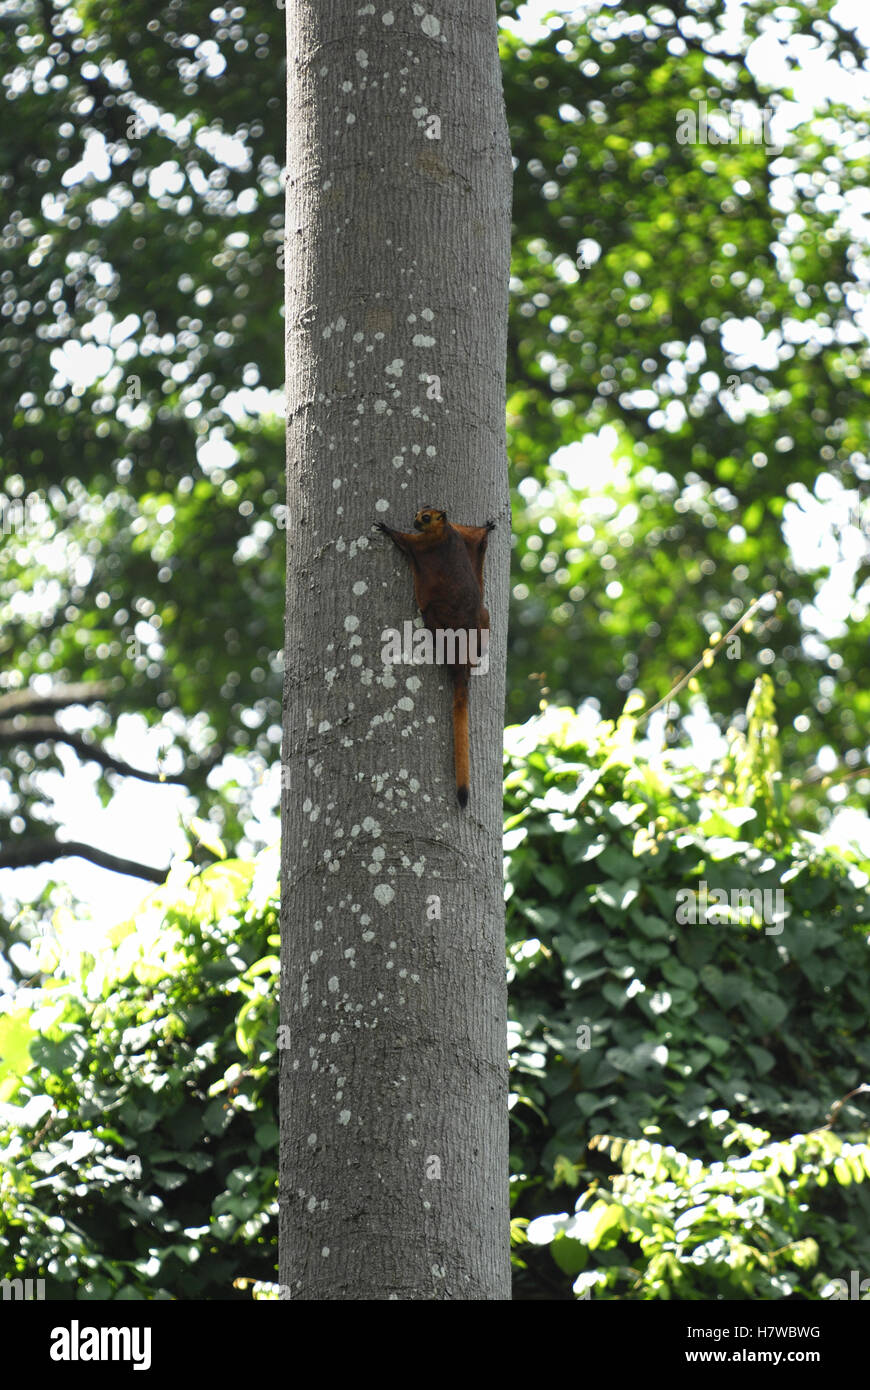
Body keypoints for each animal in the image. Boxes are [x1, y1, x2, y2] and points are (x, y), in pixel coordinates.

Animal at [375, 507, 495, 807]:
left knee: (428, 612)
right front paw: (487, 529)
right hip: (482, 620)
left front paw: (387, 529)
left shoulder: (425, 543)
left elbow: (406, 542)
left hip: (437, 615)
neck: (444, 532)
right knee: (484, 616)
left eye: (425, 517)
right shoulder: (460, 533)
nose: (415, 521)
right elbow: (476, 539)